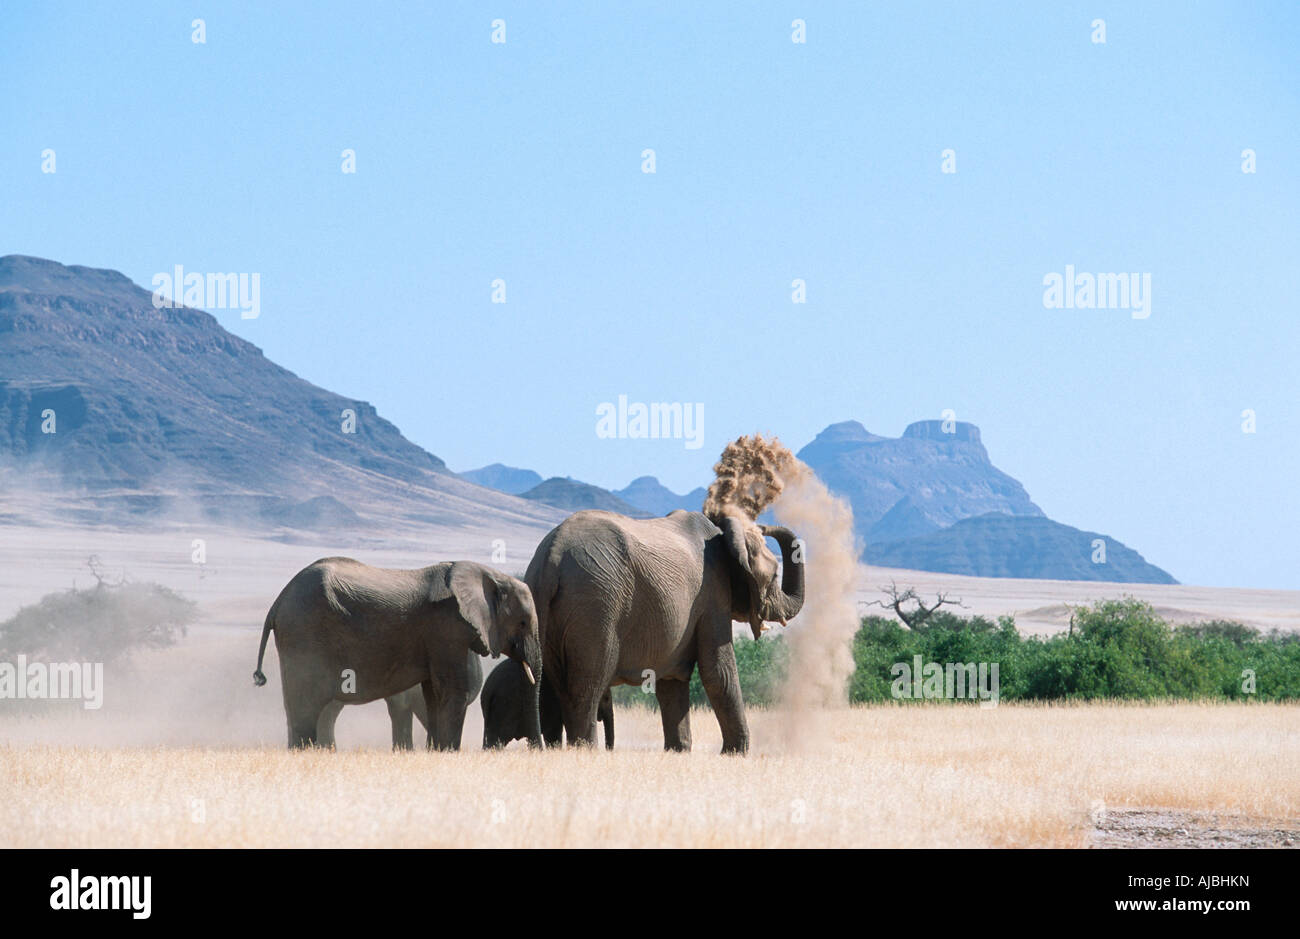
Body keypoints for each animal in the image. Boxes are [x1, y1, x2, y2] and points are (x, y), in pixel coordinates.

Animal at [480, 659, 613, 750]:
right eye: (606, 699)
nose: (608, 750)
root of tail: (488, 690)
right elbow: (553, 733)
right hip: (507, 706)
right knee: (498, 739)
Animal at [525, 508, 804, 754]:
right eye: (775, 576)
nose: (764, 526)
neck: (724, 535)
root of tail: (551, 557)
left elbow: (672, 682)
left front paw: (678, 751)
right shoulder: (713, 593)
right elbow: (718, 672)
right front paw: (735, 754)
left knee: (558, 688)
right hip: (596, 606)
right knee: (587, 687)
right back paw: (587, 751)